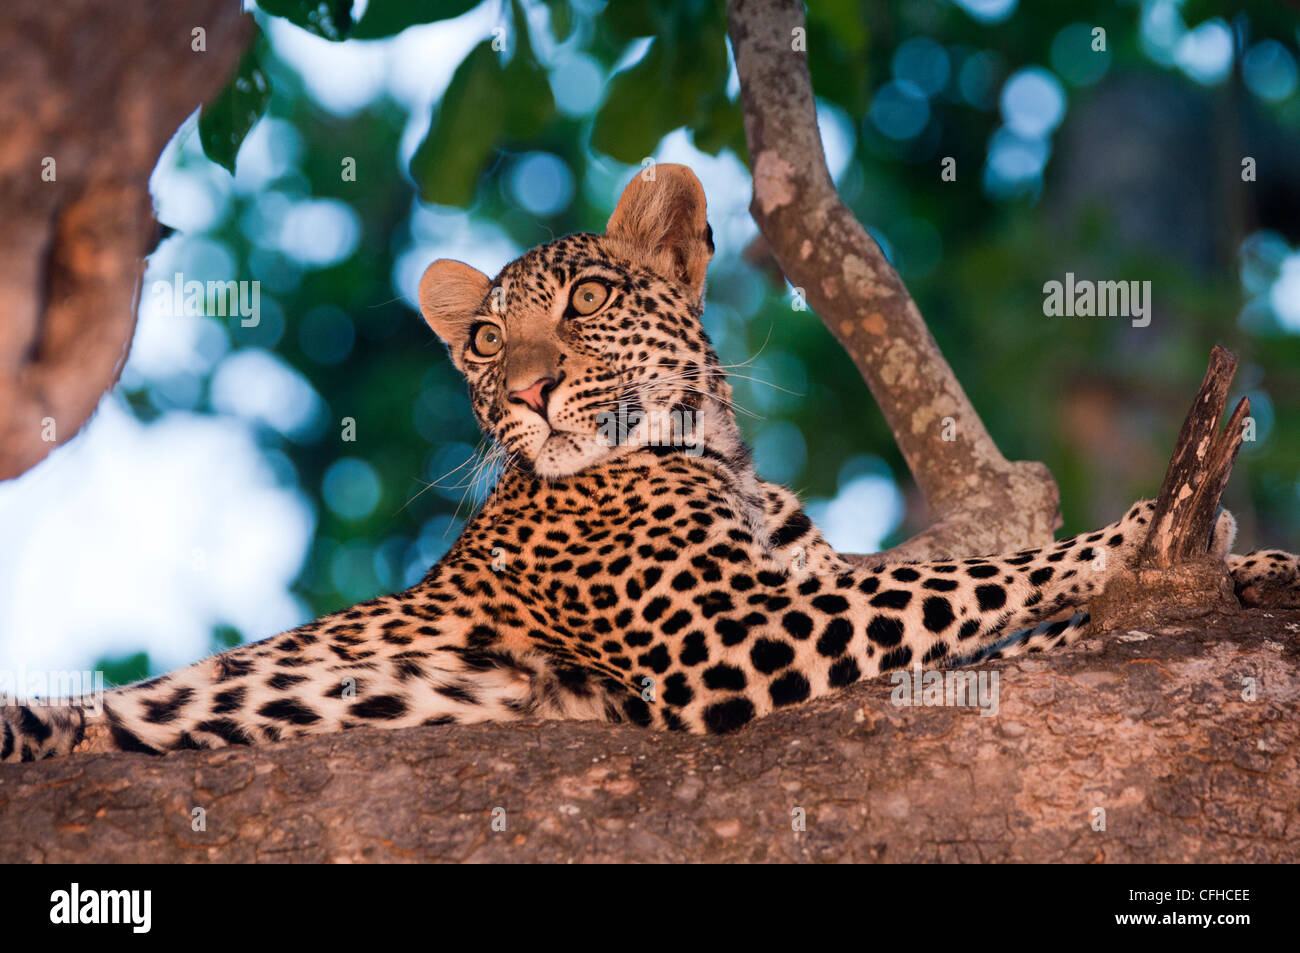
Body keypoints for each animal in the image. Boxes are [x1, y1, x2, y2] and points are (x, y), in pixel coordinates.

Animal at [3, 163, 1297, 763]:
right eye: (486, 340)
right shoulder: (729, 632)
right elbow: (957, 581)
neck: (717, 455)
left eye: (583, 300)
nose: (527, 388)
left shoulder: (793, 591)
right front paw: (1135, 532)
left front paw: (1254, 569)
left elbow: (998, 630)